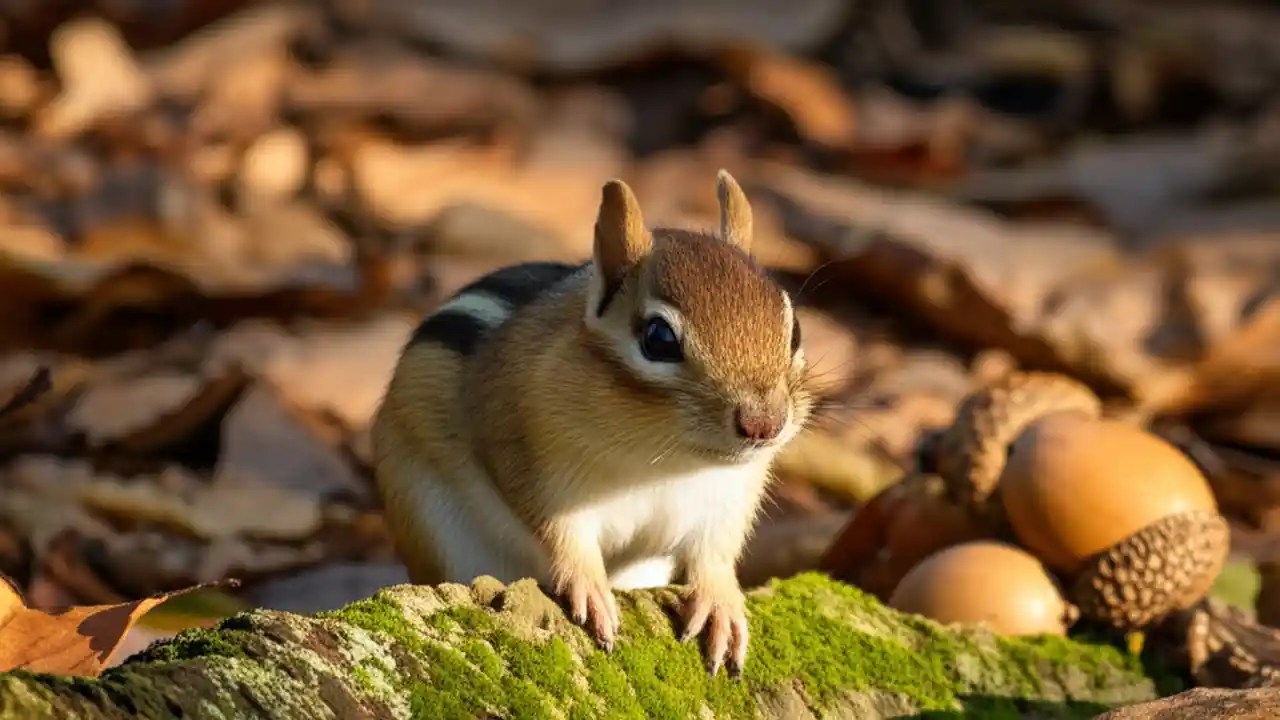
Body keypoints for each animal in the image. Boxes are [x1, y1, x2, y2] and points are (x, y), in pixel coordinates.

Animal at [371, 170, 814, 675]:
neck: (663, 458)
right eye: (659, 338)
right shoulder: (528, 457)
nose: (764, 423)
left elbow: (714, 555)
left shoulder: (728, 498)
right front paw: (589, 587)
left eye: (795, 331)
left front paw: (720, 603)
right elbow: (560, 534)